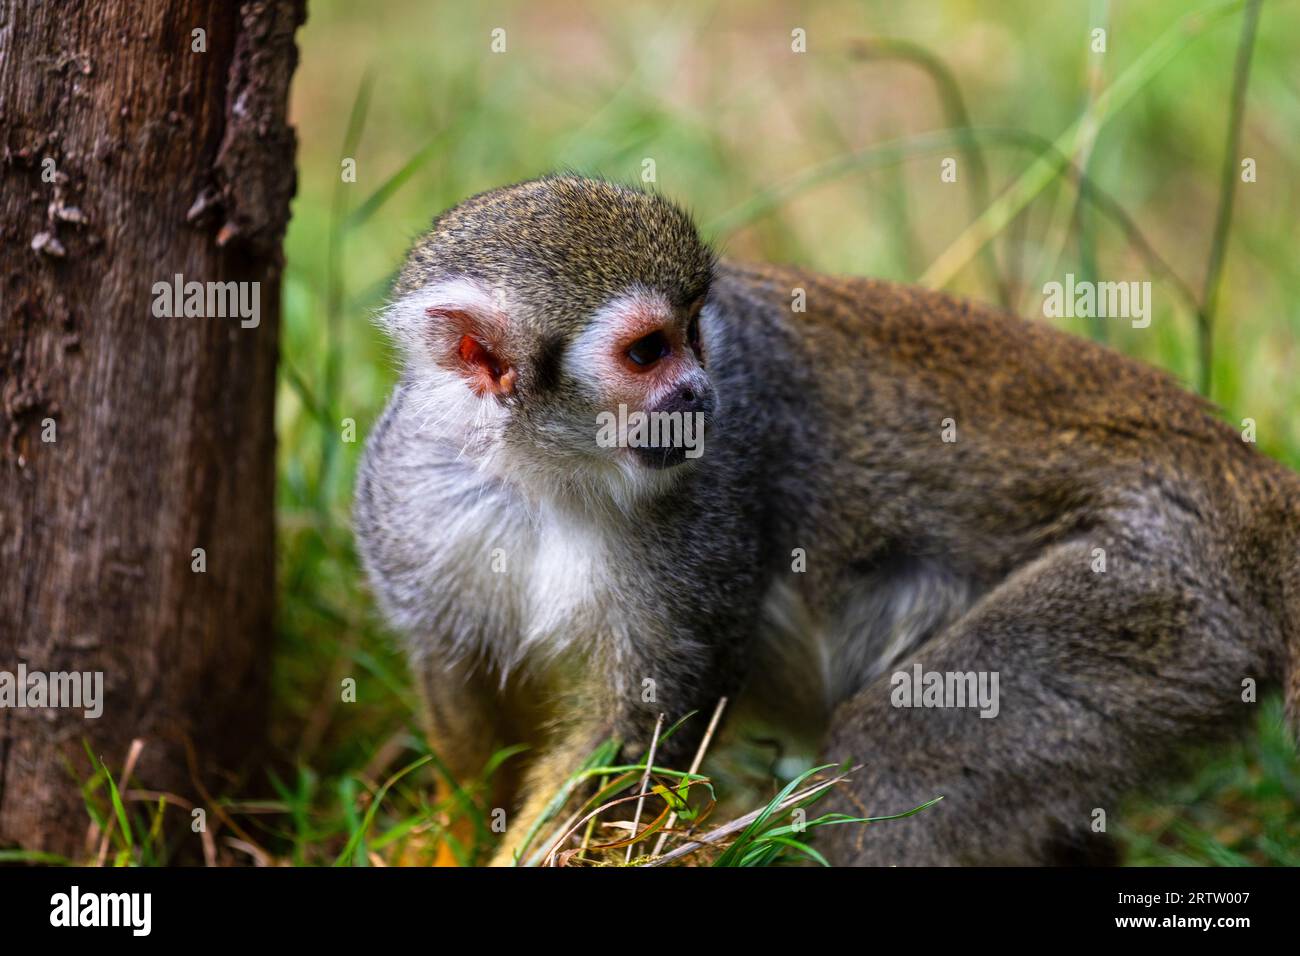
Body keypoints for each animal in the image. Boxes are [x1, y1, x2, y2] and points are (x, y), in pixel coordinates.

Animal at [353, 174, 1299, 866]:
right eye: (649, 351)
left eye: (696, 333)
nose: (701, 396)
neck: (543, 471)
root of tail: (1247, 482)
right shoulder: (406, 491)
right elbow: (458, 678)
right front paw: (447, 837)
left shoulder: (710, 500)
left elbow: (646, 719)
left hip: (1158, 594)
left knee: (893, 760)